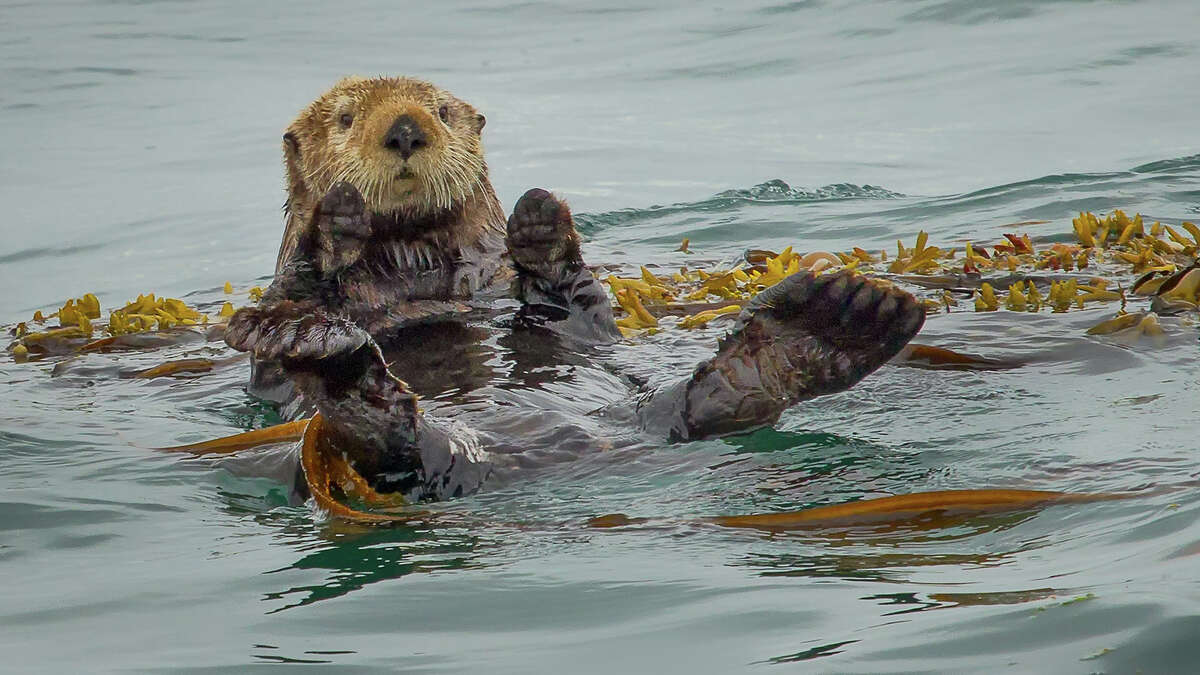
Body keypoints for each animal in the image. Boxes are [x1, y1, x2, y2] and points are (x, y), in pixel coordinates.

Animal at [225, 76, 925, 504]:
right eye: (346, 118)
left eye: (443, 112)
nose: (404, 128)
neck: (410, 261)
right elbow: (283, 312)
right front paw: (334, 224)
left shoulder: (510, 285)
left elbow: (579, 314)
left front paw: (540, 225)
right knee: (388, 445)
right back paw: (343, 375)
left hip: (642, 411)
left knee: (695, 407)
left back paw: (820, 332)